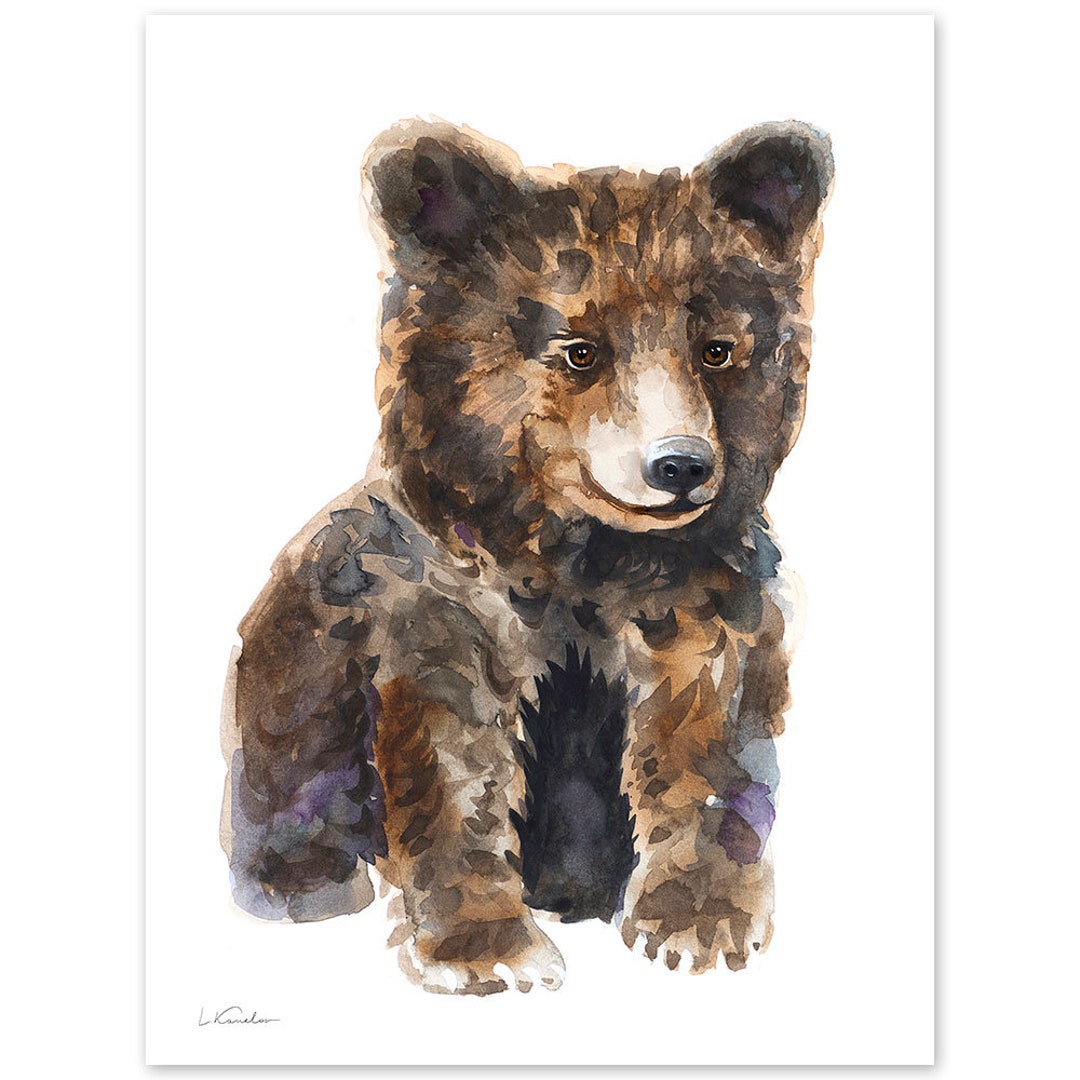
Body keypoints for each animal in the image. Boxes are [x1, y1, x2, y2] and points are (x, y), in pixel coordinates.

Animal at [220, 118, 834, 995]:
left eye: (716, 350)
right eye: (579, 350)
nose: (680, 466)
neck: (584, 554)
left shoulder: (697, 595)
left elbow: (701, 734)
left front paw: (695, 922)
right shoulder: (443, 602)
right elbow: (455, 762)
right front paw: (487, 947)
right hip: (301, 638)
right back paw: (305, 883)